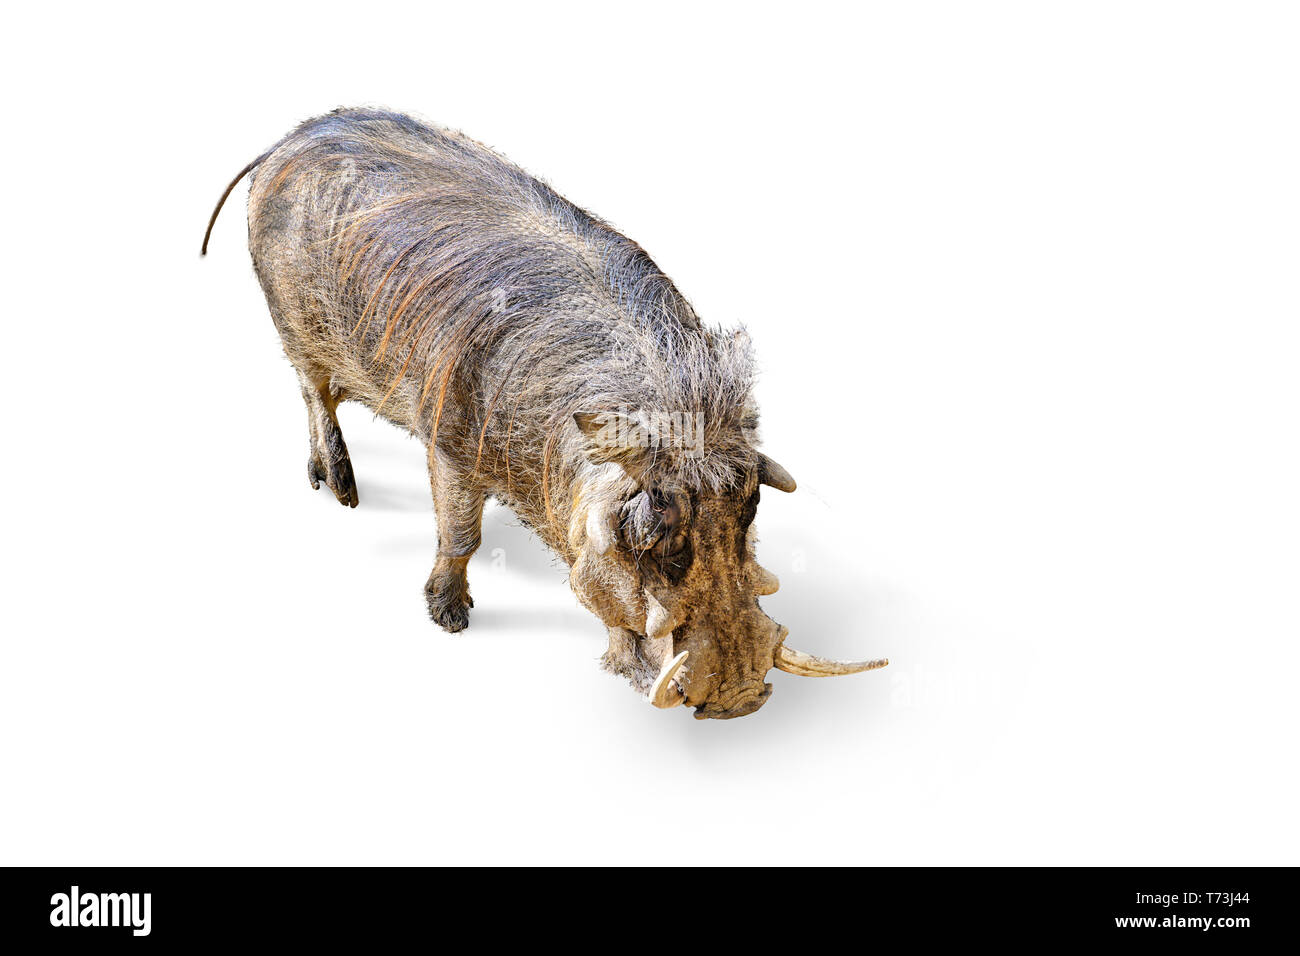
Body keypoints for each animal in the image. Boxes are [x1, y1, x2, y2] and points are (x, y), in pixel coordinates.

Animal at [202, 108, 886, 718]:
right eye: (643, 530)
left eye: (749, 511)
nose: (741, 698)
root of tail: (288, 138)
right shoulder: (450, 444)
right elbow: (460, 535)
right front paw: (450, 619)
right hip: (295, 330)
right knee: (314, 393)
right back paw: (341, 490)